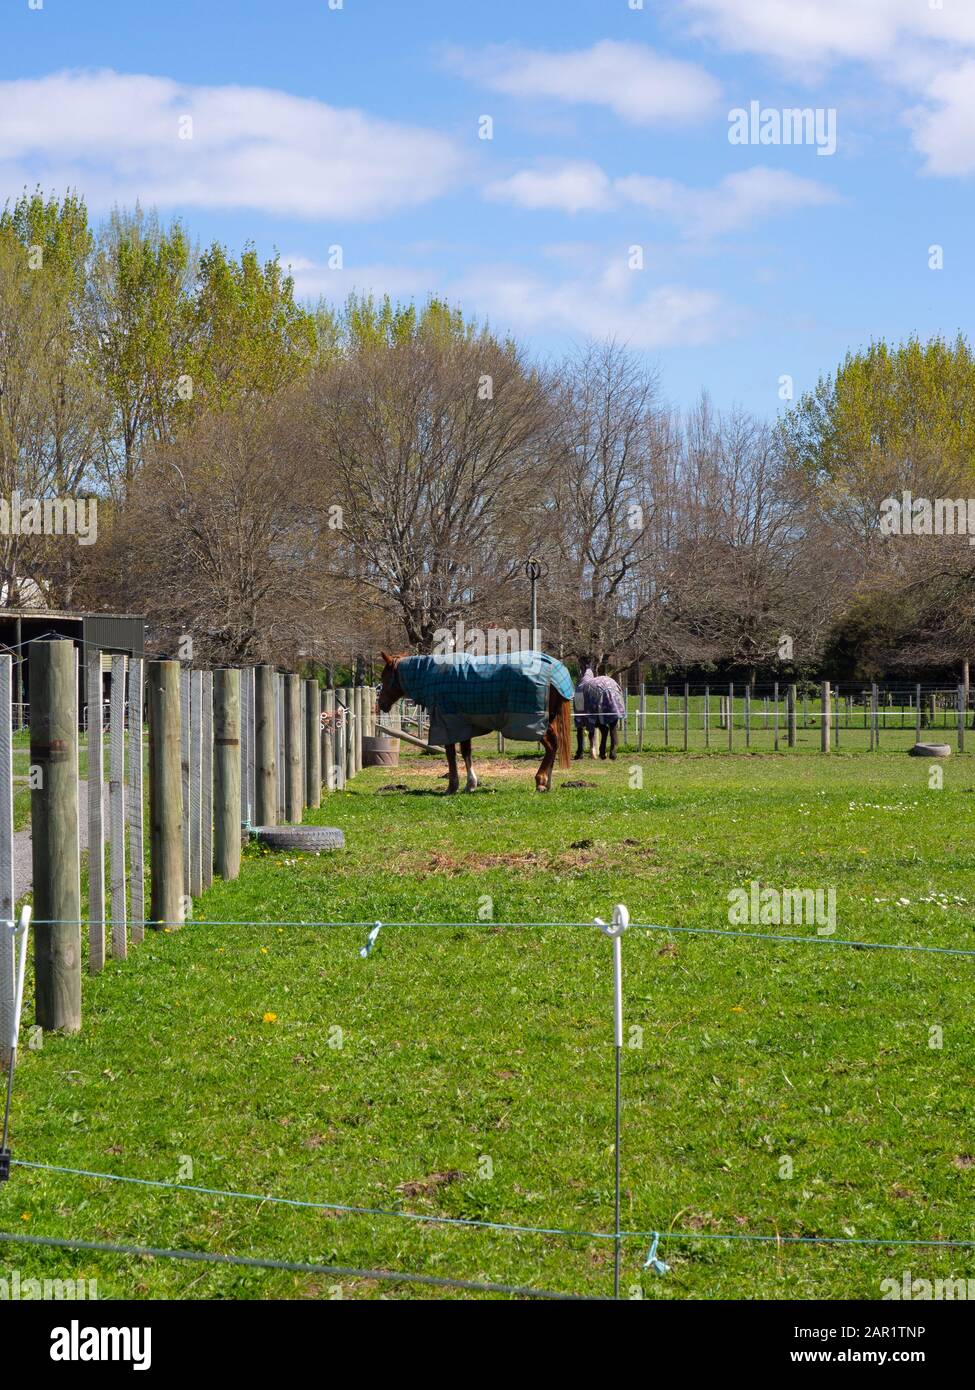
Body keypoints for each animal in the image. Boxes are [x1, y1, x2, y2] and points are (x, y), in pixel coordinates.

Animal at [377, 649, 574, 792]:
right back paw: (548, 781)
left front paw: (453, 786)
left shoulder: (449, 724)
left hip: (536, 724)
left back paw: (541, 780)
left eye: (385, 677)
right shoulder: (465, 725)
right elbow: (466, 753)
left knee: (551, 746)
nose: (381, 704)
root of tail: (553, 670)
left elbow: (451, 755)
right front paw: (470, 784)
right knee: (554, 745)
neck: (434, 676)